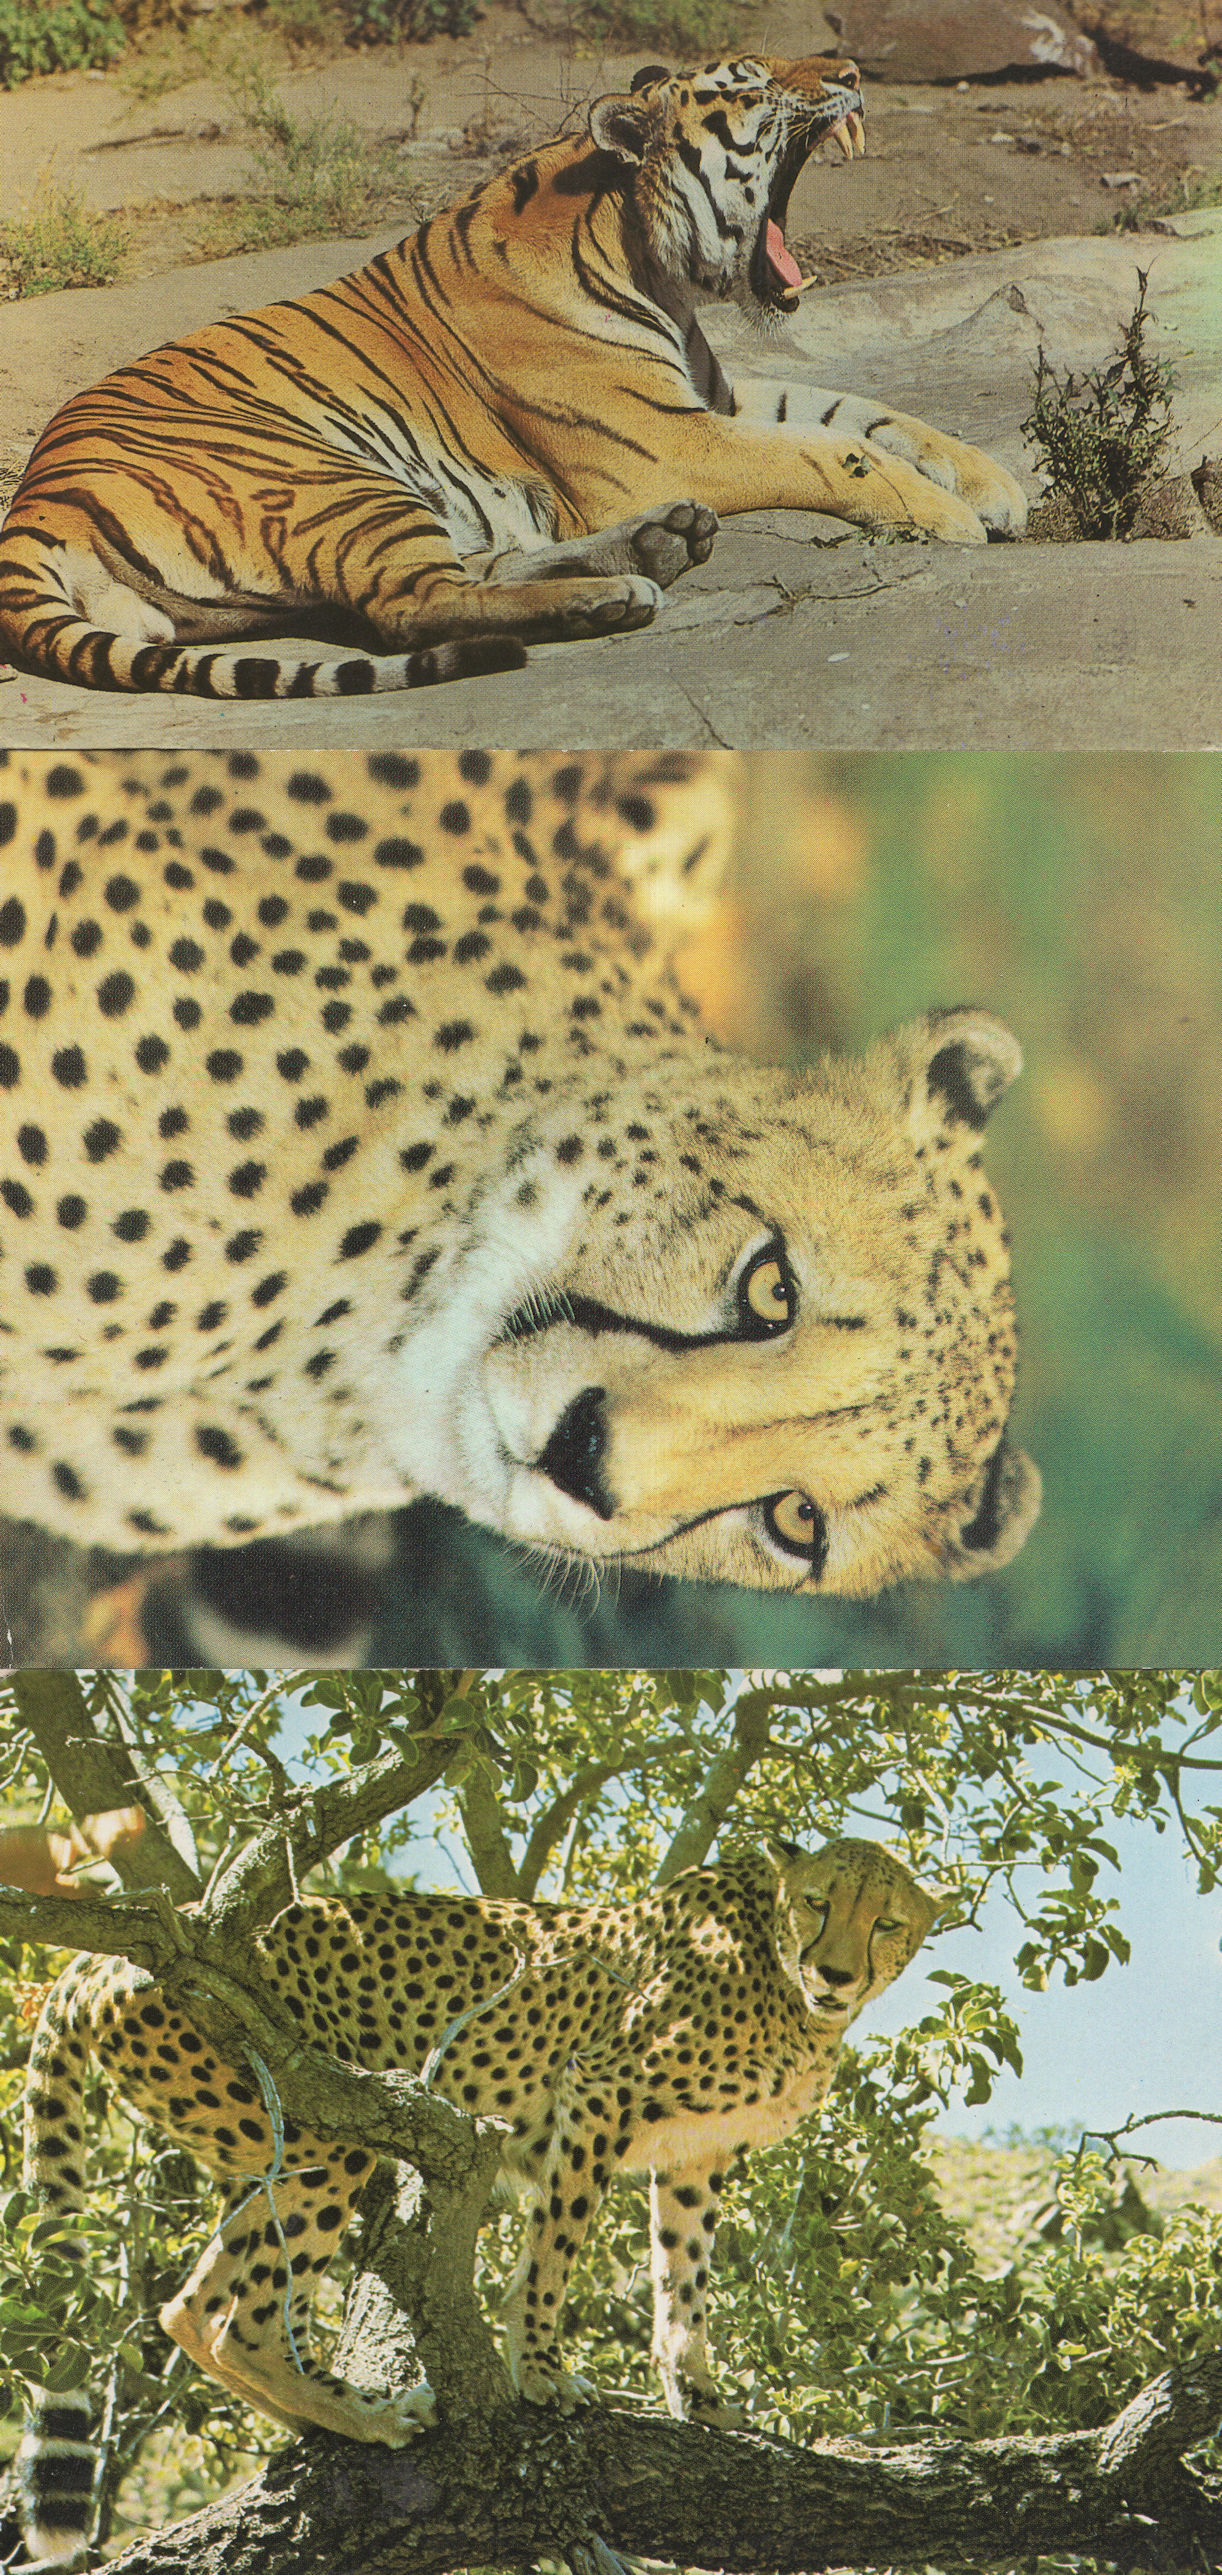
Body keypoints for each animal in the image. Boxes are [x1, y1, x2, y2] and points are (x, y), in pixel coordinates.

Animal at [0, 53, 1027, 701]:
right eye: (750, 84)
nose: (851, 74)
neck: (644, 254)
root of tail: (32, 504)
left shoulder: (709, 401)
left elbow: (871, 415)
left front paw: (997, 487)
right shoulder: (669, 440)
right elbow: (834, 454)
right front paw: (948, 518)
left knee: (468, 566)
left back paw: (655, 547)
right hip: (329, 479)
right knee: (413, 606)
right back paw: (618, 593)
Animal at [17, 1836, 942, 2562]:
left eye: (887, 1920)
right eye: (819, 1903)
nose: (835, 1970)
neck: (789, 1983)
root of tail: (107, 1950)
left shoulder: (695, 2155)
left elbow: (685, 2284)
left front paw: (703, 2400)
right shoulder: (596, 2091)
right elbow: (555, 2250)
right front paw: (540, 2372)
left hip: (272, 2149)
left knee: (189, 2305)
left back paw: (322, 2418)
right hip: (324, 2129)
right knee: (242, 2317)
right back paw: (369, 2415)